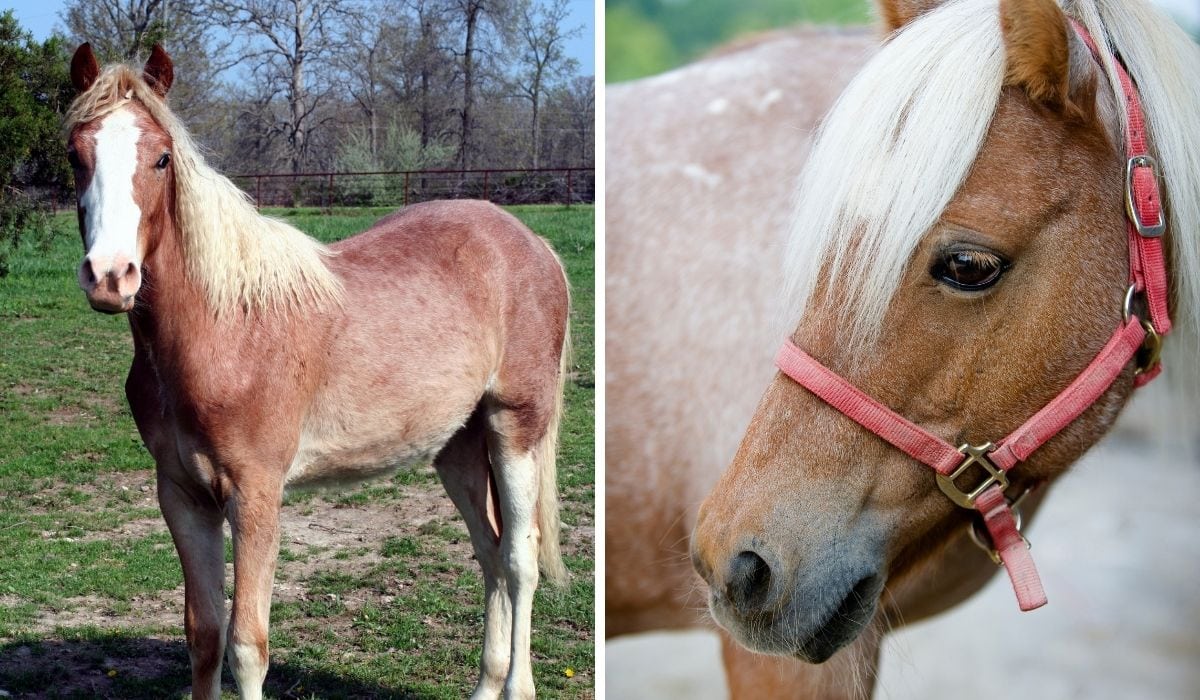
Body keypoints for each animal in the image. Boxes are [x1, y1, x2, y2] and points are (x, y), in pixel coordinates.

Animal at [64, 43, 570, 700]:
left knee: (519, 559)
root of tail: (532, 243)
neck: (226, 328)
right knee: (489, 552)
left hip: (516, 430)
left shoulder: (255, 496)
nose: (110, 276)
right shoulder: (182, 497)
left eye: (161, 158)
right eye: (76, 155)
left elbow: (247, 646)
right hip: (459, 443)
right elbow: (205, 636)